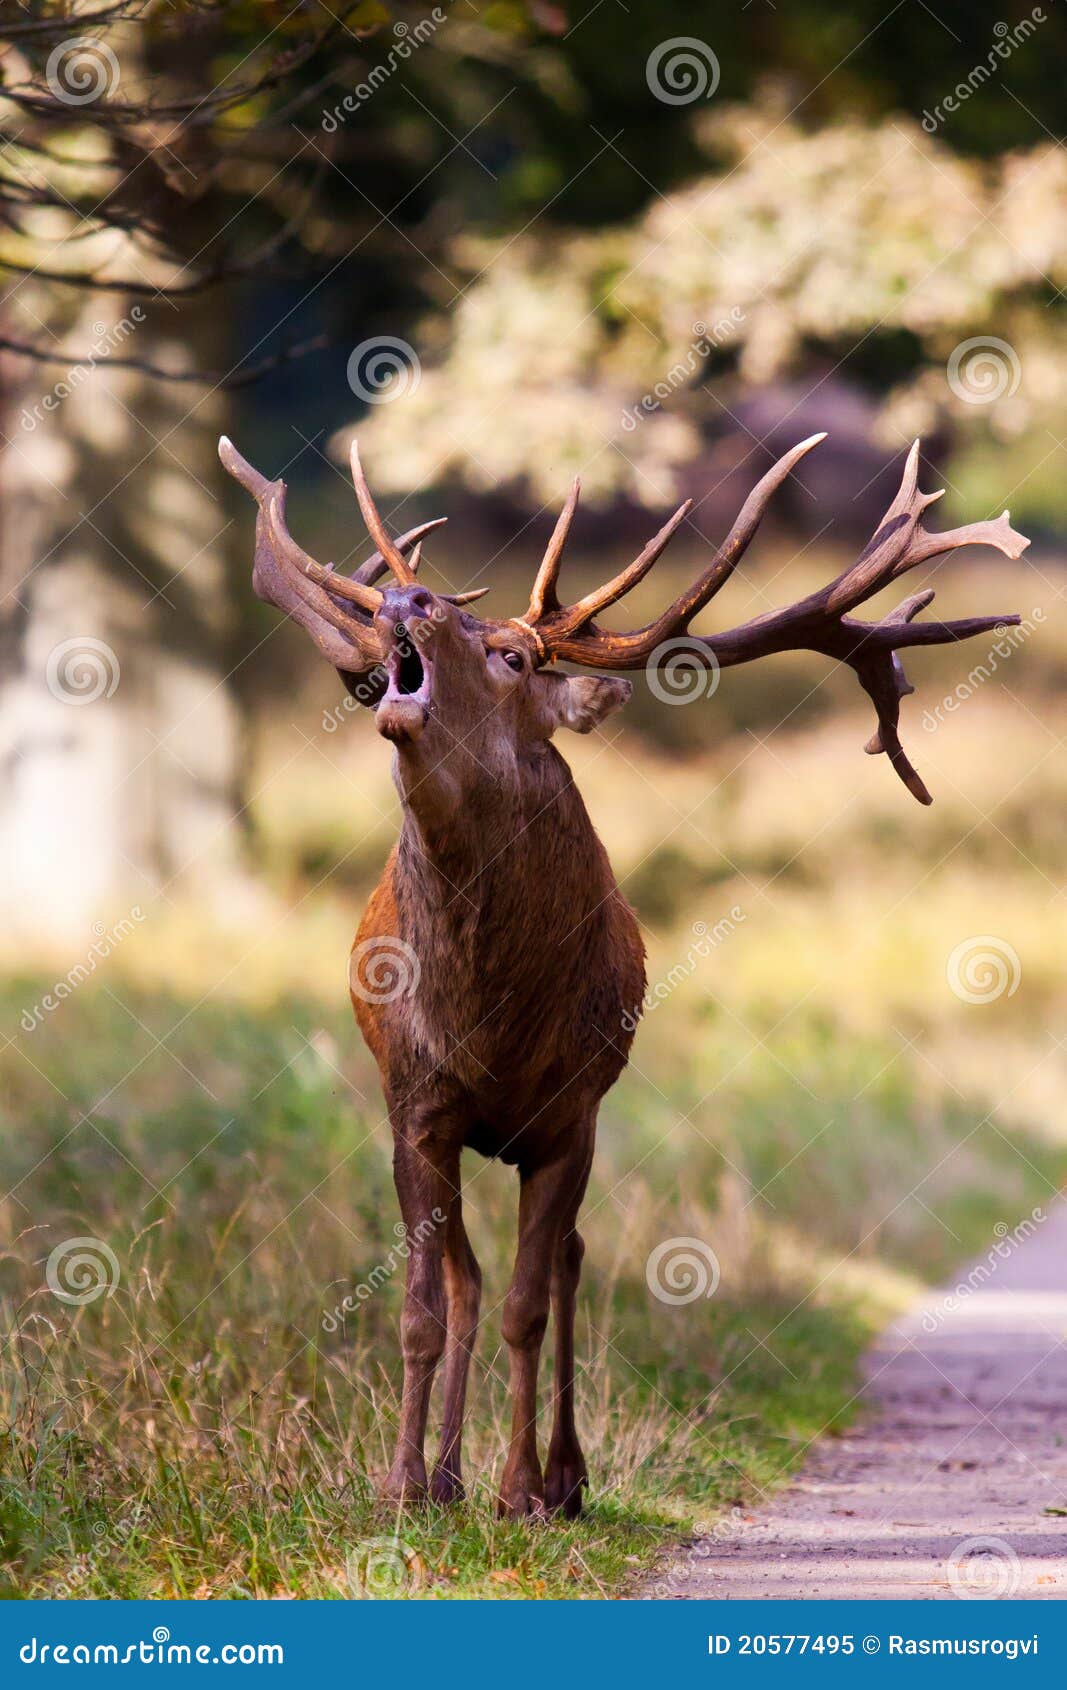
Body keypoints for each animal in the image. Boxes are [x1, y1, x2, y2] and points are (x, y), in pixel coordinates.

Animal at [218, 430, 1026, 1519]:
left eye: (513, 655)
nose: (407, 598)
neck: (487, 1012)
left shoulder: (568, 1113)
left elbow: (529, 1300)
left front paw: (522, 1488)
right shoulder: (415, 1105)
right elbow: (423, 1305)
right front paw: (400, 1488)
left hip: (585, 1112)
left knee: (562, 1261)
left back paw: (560, 1476)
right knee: (471, 1278)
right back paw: (446, 1474)